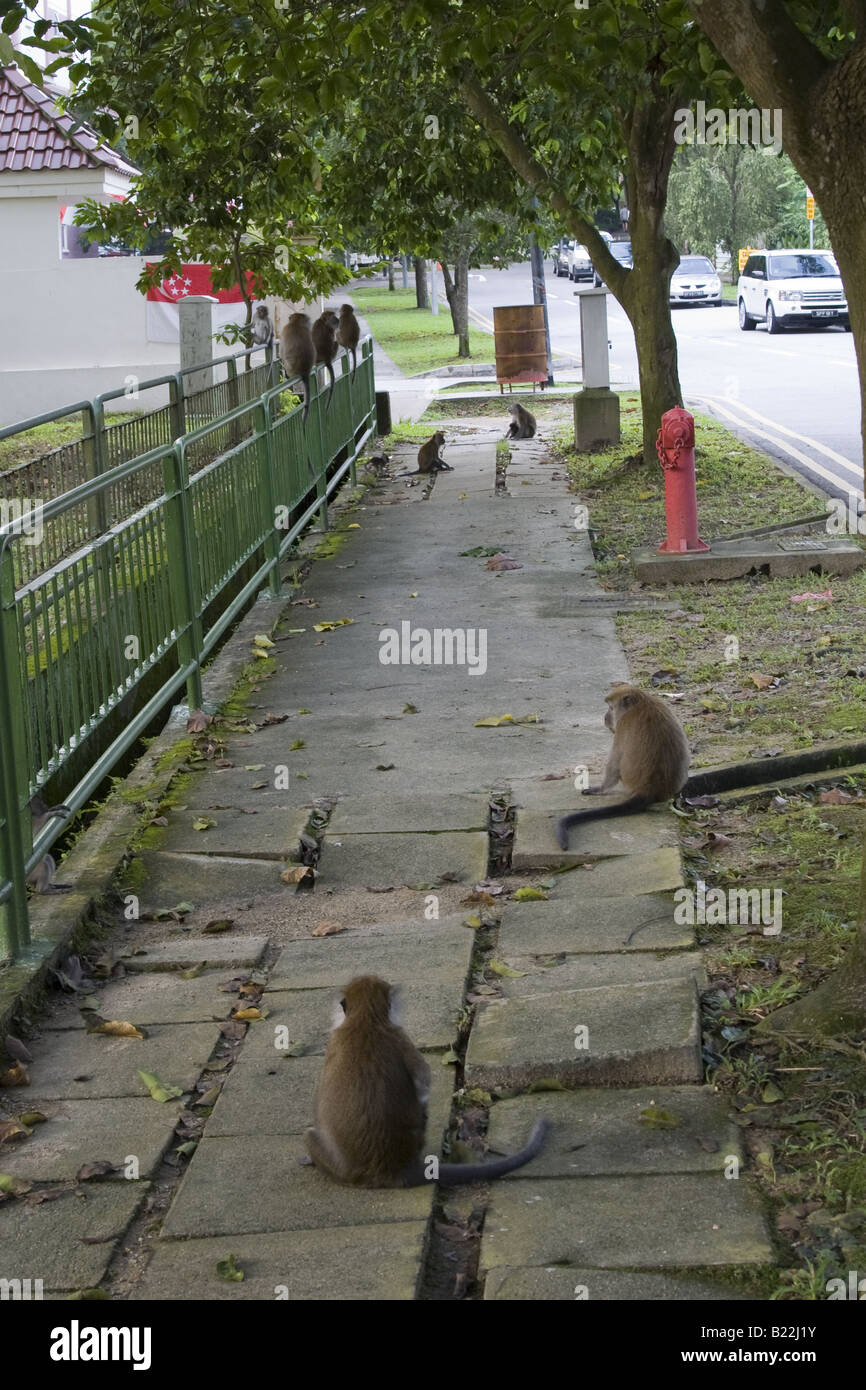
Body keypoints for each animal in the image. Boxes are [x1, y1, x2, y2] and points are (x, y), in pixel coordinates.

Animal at [305, 975, 550, 1188]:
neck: (366, 1019)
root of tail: (388, 1170)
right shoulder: (400, 1036)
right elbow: (423, 1079)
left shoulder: (337, 1043)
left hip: (337, 1166)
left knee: (310, 1135)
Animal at [556, 684, 690, 850]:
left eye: (611, 708)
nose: (605, 717)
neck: (641, 703)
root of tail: (648, 791)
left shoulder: (622, 726)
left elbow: (614, 762)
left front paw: (600, 789)